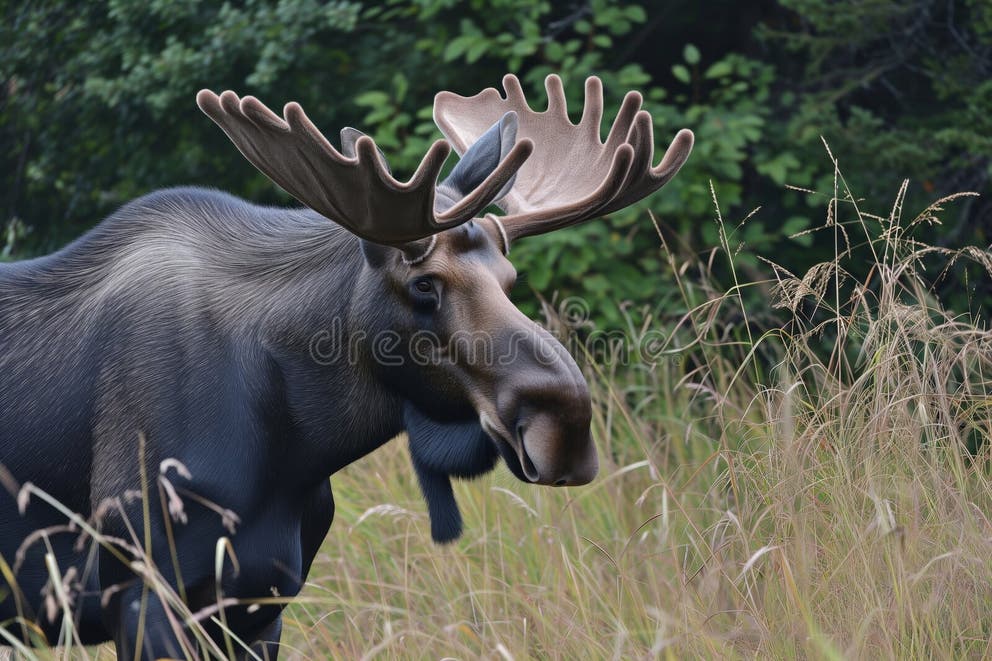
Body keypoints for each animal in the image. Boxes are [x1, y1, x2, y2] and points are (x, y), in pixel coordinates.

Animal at [0, 73, 693, 659]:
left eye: (510, 278)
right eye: (423, 285)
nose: (565, 426)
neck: (296, 449)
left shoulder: (261, 603)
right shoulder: (140, 589)